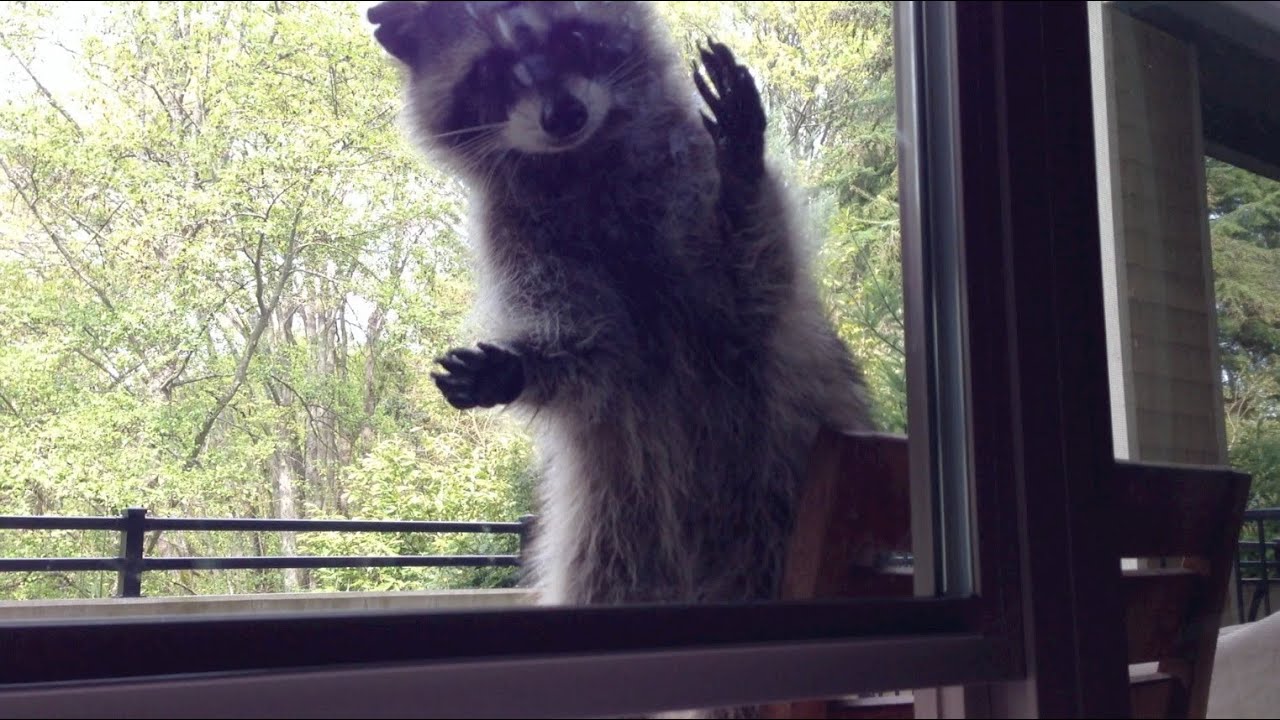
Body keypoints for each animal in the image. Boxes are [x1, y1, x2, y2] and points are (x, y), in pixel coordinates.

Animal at [367, 0, 872, 609]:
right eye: (491, 71)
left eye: (572, 36)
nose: (564, 115)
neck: (580, 162)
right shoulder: (518, 236)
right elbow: (597, 356)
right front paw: (523, 366)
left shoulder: (688, 180)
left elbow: (753, 283)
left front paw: (742, 167)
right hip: (612, 535)